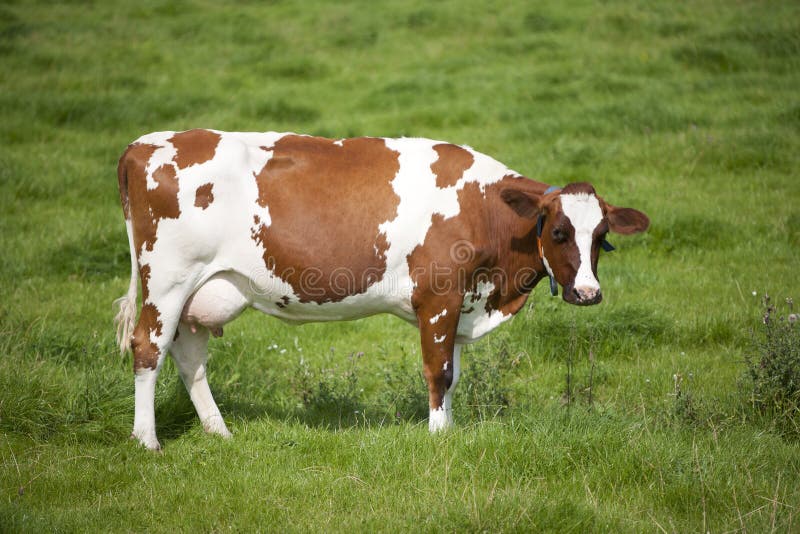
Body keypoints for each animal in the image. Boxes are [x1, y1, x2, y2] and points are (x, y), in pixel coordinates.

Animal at [114, 129, 649, 450]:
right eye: (558, 232)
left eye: (601, 236)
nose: (588, 293)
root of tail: (145, 143)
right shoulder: (438, 296)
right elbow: (438, 372)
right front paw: (438, 437)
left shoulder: (461, 304)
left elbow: (453, 374)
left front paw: (448, 430)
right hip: (167, 280)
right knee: (148, 348)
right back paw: (147, 441)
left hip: (201, 291)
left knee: (188, 356)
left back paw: (219, 431)